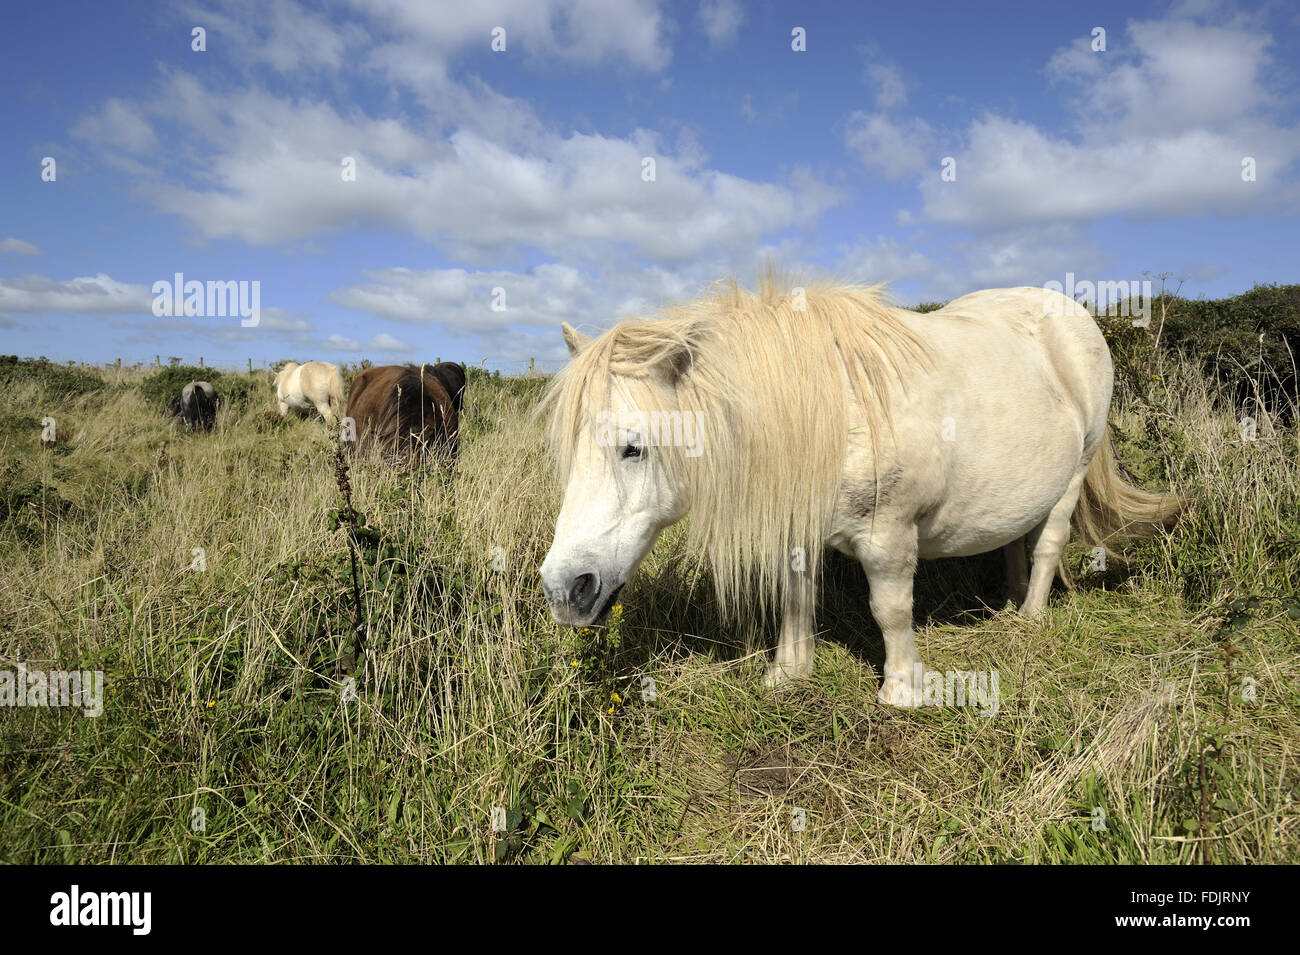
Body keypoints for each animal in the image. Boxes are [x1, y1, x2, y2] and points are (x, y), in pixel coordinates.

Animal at [538, 275, 1185, 706]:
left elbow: (890, 609)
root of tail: (1075, 315)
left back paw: (1029, 619)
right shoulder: (796, 520)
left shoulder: (887, 535)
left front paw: (903, 689)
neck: (826, 409)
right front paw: (788, 674)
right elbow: (795, 598)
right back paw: (1009, 596)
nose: (565, 589)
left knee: (1049, 540)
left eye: (633, 447)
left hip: (1073, 475)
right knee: (1014, 540)